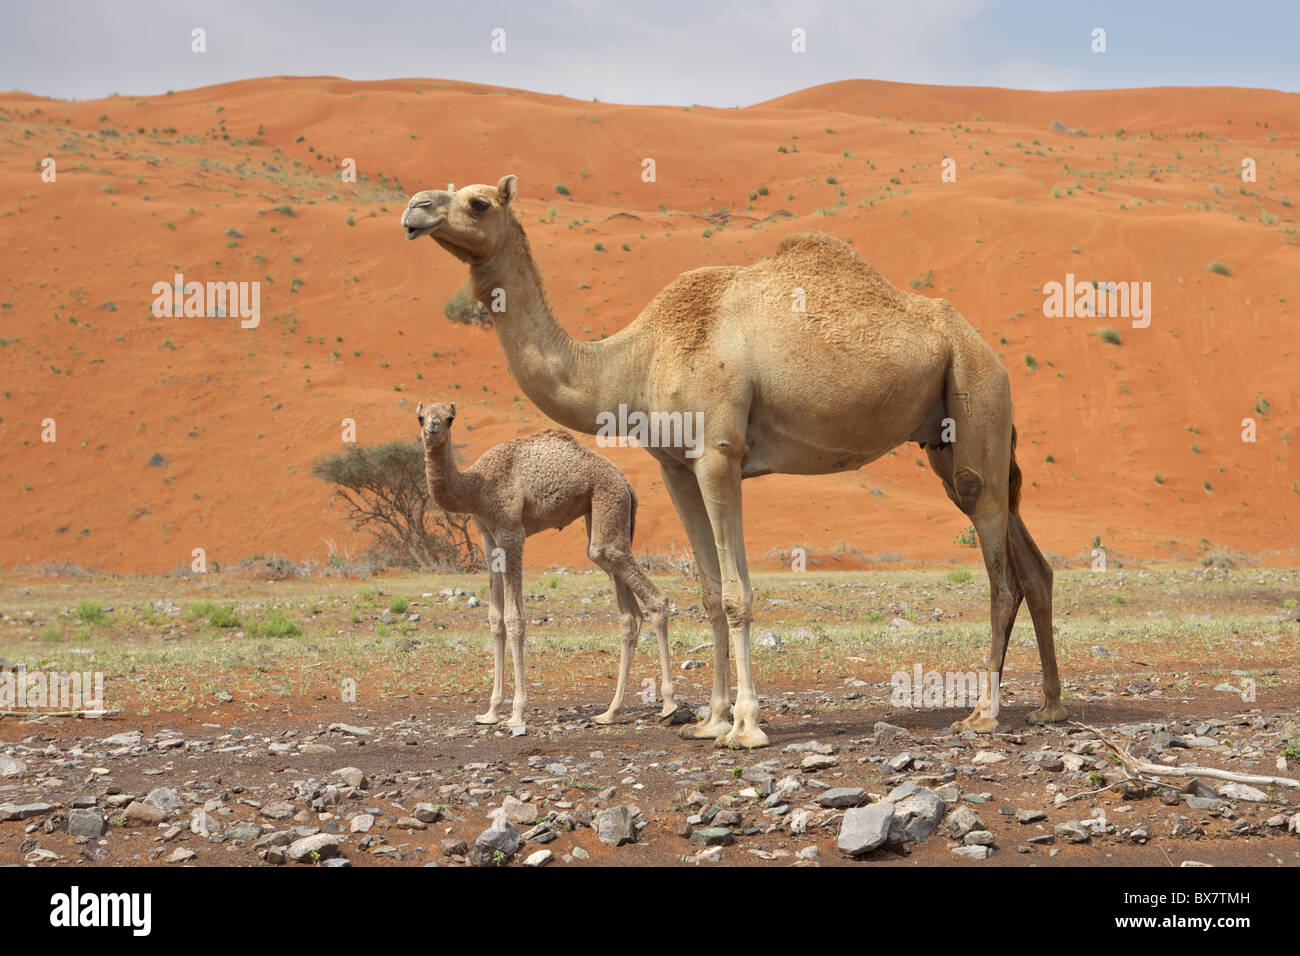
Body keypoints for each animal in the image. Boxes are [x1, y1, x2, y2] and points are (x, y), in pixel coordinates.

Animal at [416, 400, 677, 728]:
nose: (432, 427)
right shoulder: (488, 538)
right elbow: (495, 620)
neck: (474, 487)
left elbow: (514, 619)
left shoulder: (511, 531)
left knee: (655, 599)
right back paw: (609, 712)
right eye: (421, 417)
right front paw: (490, 712)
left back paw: (669, 705)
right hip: (601, 517)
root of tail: (627, 483)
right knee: (628, 612)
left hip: (608, 500)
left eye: (450, 419)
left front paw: (517, 713)